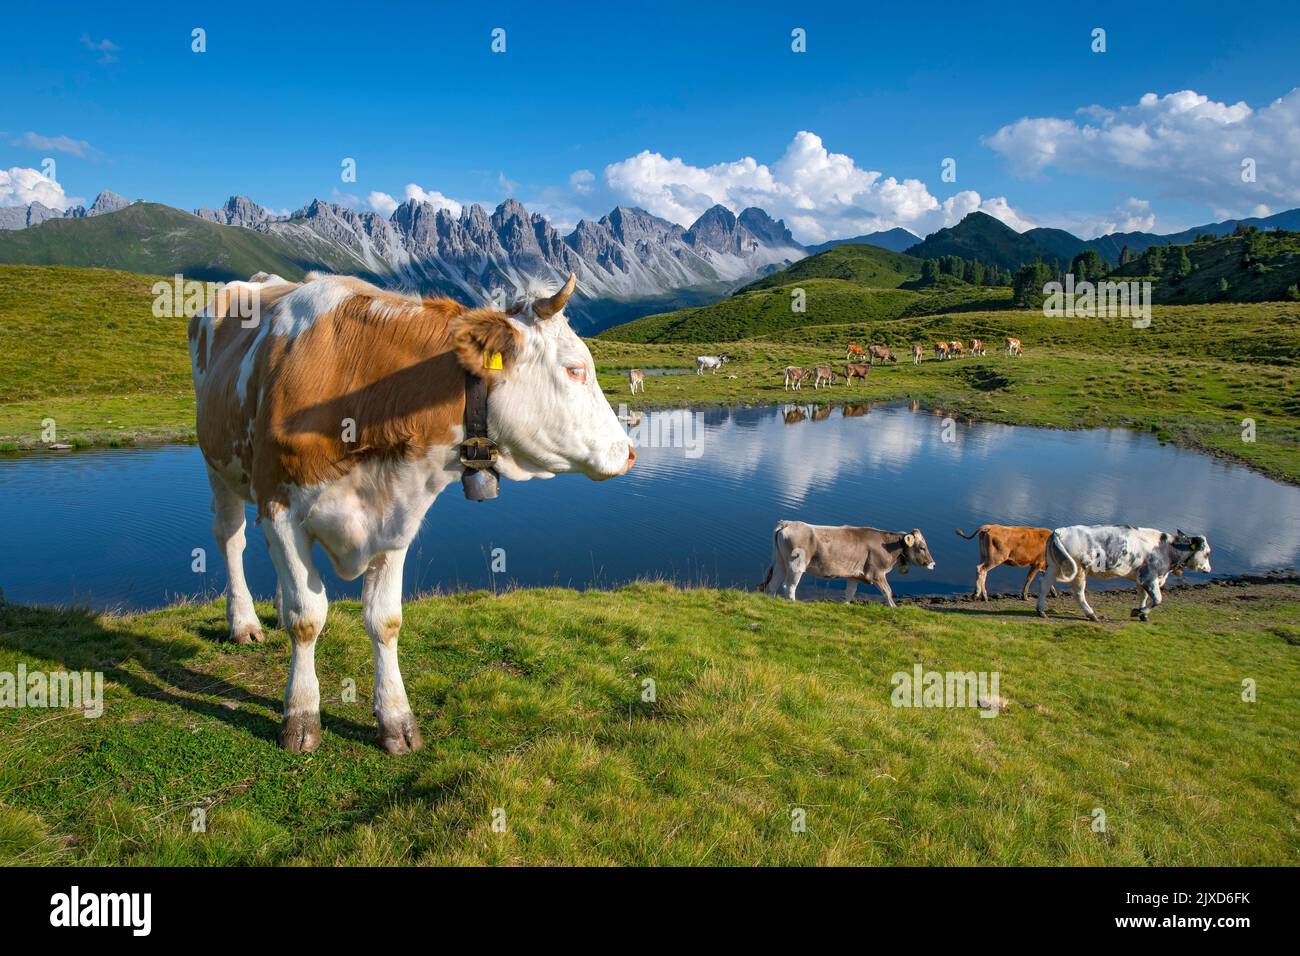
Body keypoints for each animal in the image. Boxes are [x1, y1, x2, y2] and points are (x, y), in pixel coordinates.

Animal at [189, 271, 634, 754]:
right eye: (576, 370)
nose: (629, 452)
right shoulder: (280, 509)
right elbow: (306, 618)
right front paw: (301, 717)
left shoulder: (397, 518)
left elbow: (384, 619)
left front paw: (396, 719)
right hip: (217, 465)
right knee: (231, 538)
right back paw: (244, 622)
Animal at [759, 521, 936, 607]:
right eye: (922, 547)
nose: (933, 564)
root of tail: (788, 523)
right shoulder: (877, 573)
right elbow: (888, 592)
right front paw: (894, 608)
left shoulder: (855, 575)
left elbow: (850, 592)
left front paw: (845, 605)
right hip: (796, 565)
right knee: (789, 586)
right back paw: (793, 603)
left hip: (781, 562)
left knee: (773, 585)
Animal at [1037, 525, 1212, 623]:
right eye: (1207, 553)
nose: (1208, 569)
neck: (1166, 548)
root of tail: (1059, 532)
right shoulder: (1149, 576)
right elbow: (1157, 599)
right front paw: (1139, 612)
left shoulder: (1141, 578)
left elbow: (1143, 596)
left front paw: (1143, 614)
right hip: (1080, 570)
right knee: (1079, 593)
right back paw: (1092, 615)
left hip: (1053, 566)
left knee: (1044, 586)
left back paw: (1041, 610)